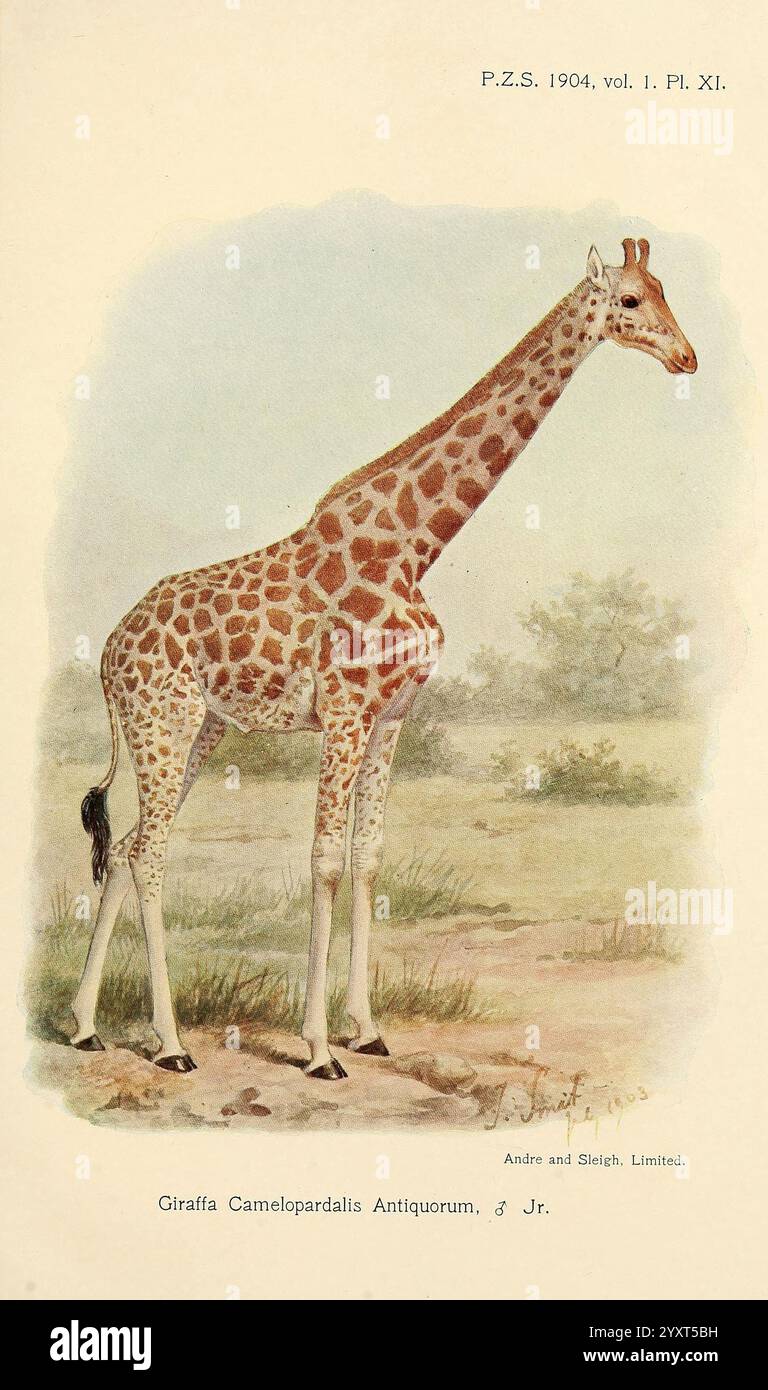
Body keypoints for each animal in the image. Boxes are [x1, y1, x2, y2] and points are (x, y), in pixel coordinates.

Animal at [73, 237, 696, 1077]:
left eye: (663, 288)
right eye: (630, 300)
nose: (687, 357)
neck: (412, 545)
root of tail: (108, 651)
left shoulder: (393, 714)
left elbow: (369, 858)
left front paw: (365, 1030)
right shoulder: (344, 712)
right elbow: (325, 862)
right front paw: (316, 1050)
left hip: (199, 726)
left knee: (128, 843)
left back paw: (85, 1026)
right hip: (161, 722)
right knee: (149, 852)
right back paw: (169, 1045)